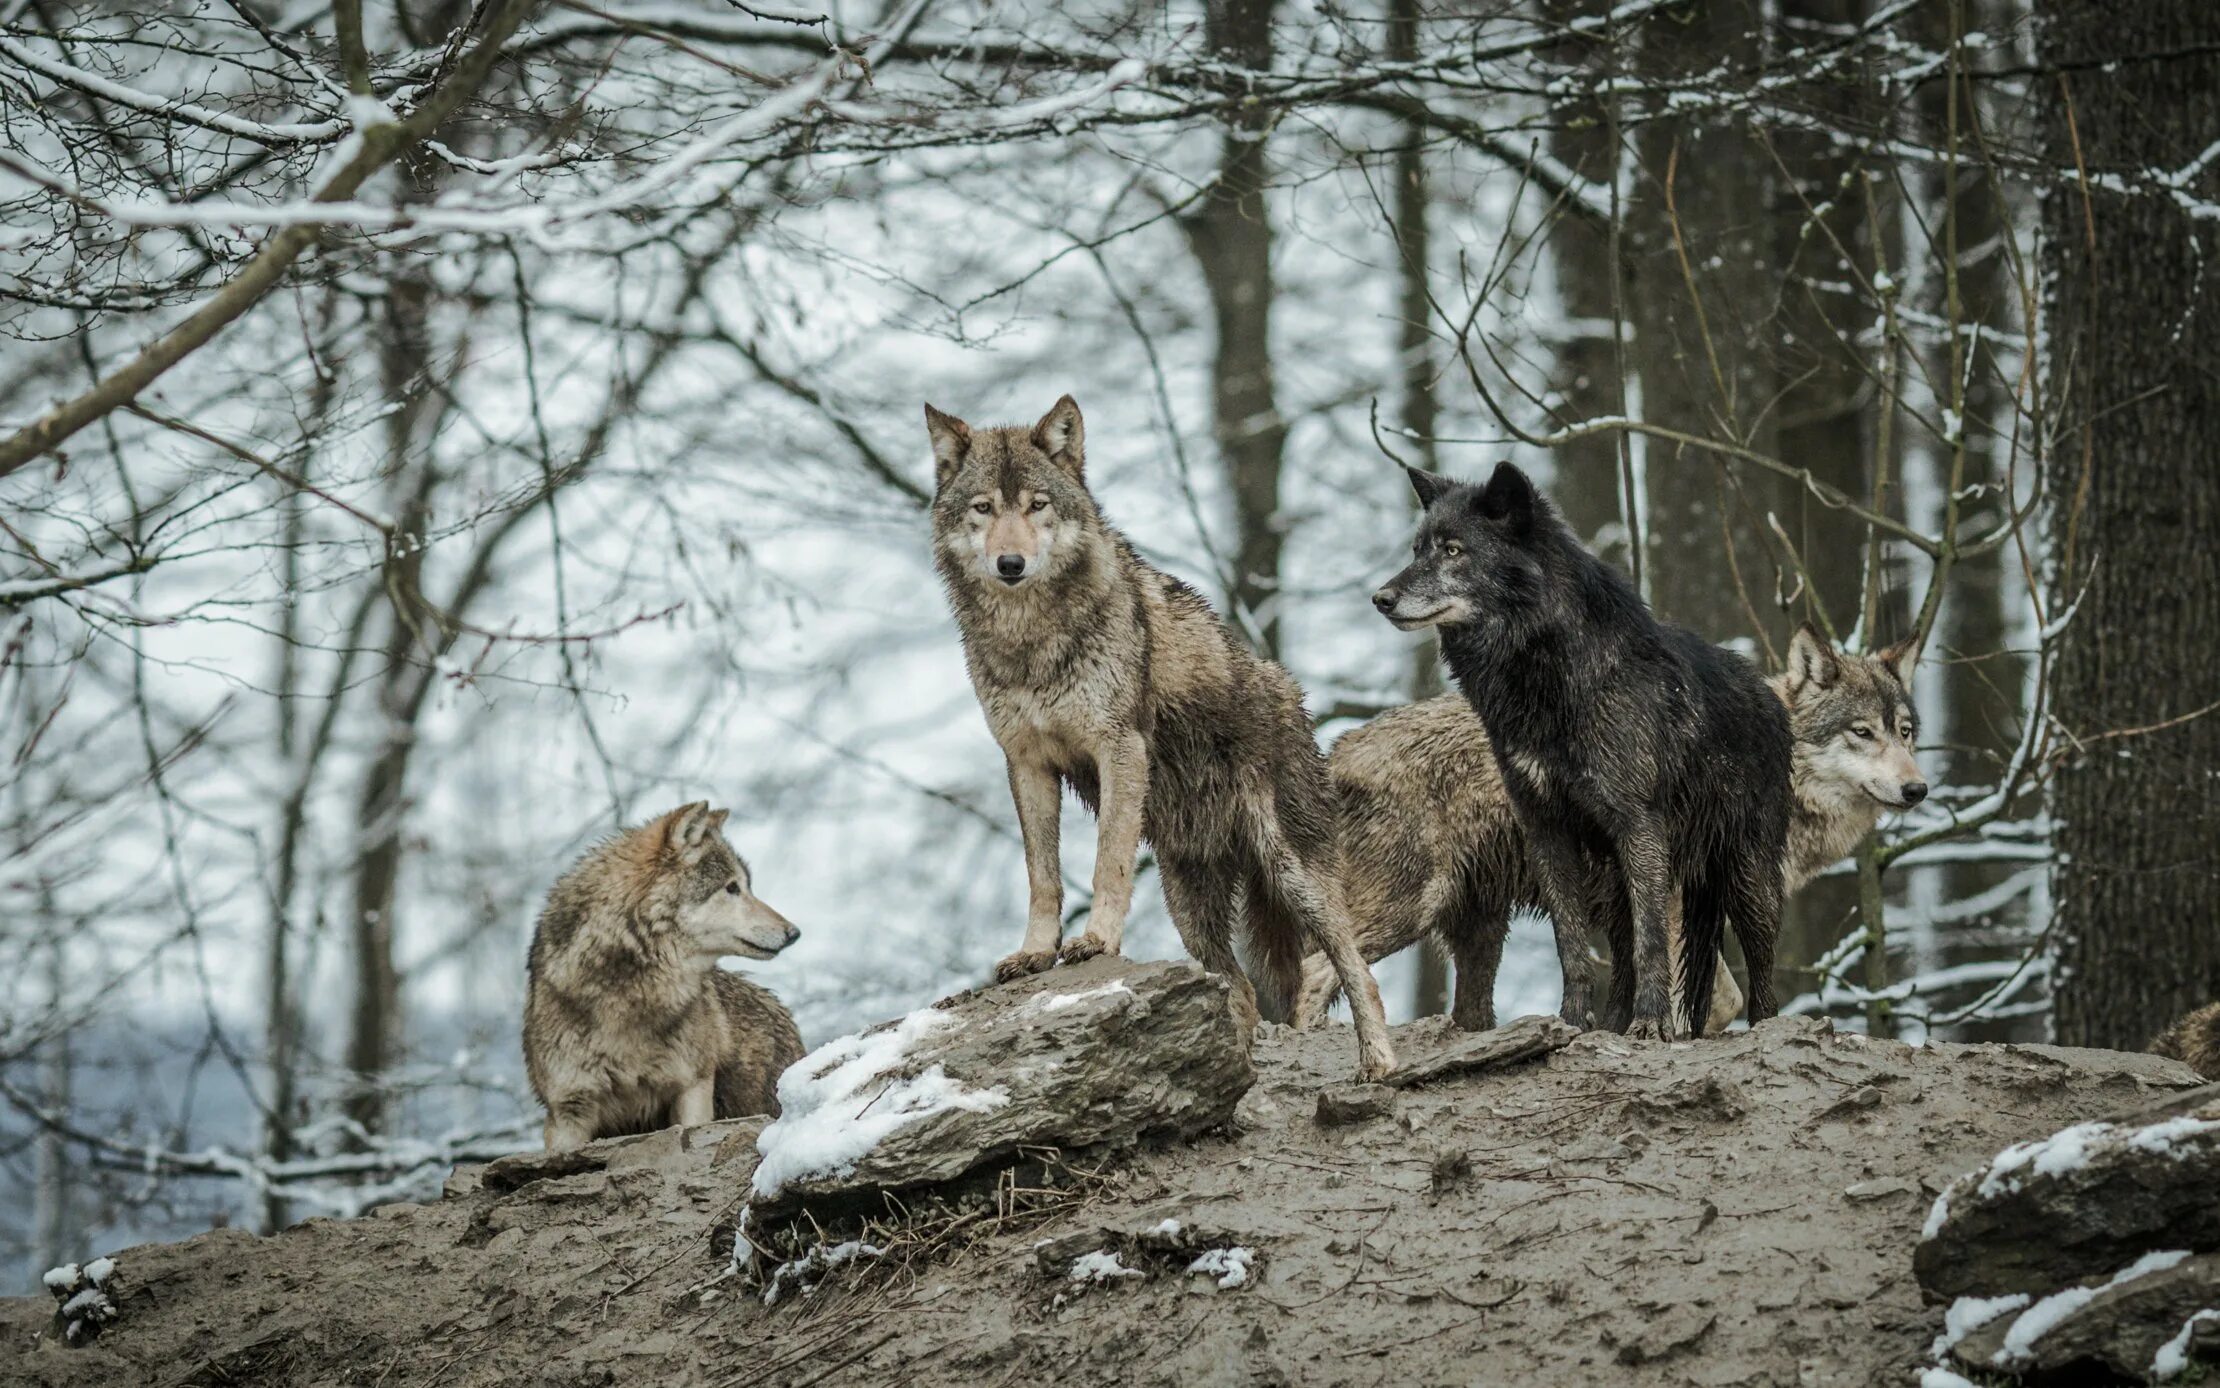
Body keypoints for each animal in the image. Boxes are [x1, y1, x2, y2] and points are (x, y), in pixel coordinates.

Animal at [927, 395, 1394, 1079]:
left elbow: (1107, 863)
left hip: (1291, 870)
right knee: (1241, 988)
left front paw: (1095, 941)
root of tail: (1291, 692)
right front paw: (1035, 953)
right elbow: (1044, 877)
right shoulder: (1025, 762)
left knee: (1351, 964)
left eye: (1037, 505)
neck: (1030, 640)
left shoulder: (1118, 746)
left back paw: (1378, 1063)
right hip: (1189, 904)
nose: (1010, 564)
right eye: (984, 507)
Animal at [1296, 626, 1926, 1030]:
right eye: (1862, 733)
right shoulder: (1671, 905)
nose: (1917, 789)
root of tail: (1336, 749)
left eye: (1905, 731)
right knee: (1312, 973)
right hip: (1407, 910)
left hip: (1482, 932)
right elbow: (1713, 999)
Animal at [1376, 459, 1793, 1034]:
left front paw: (1653, 1025)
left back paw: (1760, 1026)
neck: (1548, 676)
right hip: (1615, 876)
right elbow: (1570, 942)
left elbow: (1651, 941)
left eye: (1454, 550)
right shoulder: (1545, 828)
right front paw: (1573, 1021)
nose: (1380, 598)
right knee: (1622, 954)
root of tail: (1770, 696)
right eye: (1418, 549)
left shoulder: (1640, 825)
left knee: (1762, 973)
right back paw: (1615, 1021)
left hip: (1748, 879)